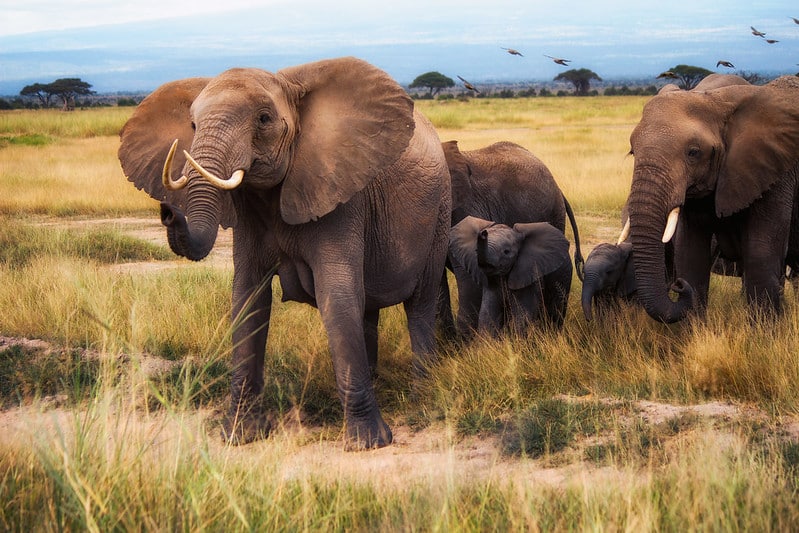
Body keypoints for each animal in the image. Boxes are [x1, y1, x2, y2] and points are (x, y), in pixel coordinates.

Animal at [116, 57, 454, 448]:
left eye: (264, 119)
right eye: (192, 125)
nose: (169, 211)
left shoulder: (340, 194)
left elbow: (336, 298)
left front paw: (368, 443)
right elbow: (248, 300)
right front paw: (239, 435)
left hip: (439, 213)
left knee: (420, 305)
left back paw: (421, 396)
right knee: (367, 307)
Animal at [624, 72, 799, 322]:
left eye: (693, 153)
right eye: (632, 152)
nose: (677, 285)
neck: (716, 98)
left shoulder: (775, 172)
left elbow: (761, 258)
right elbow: (691, 256)